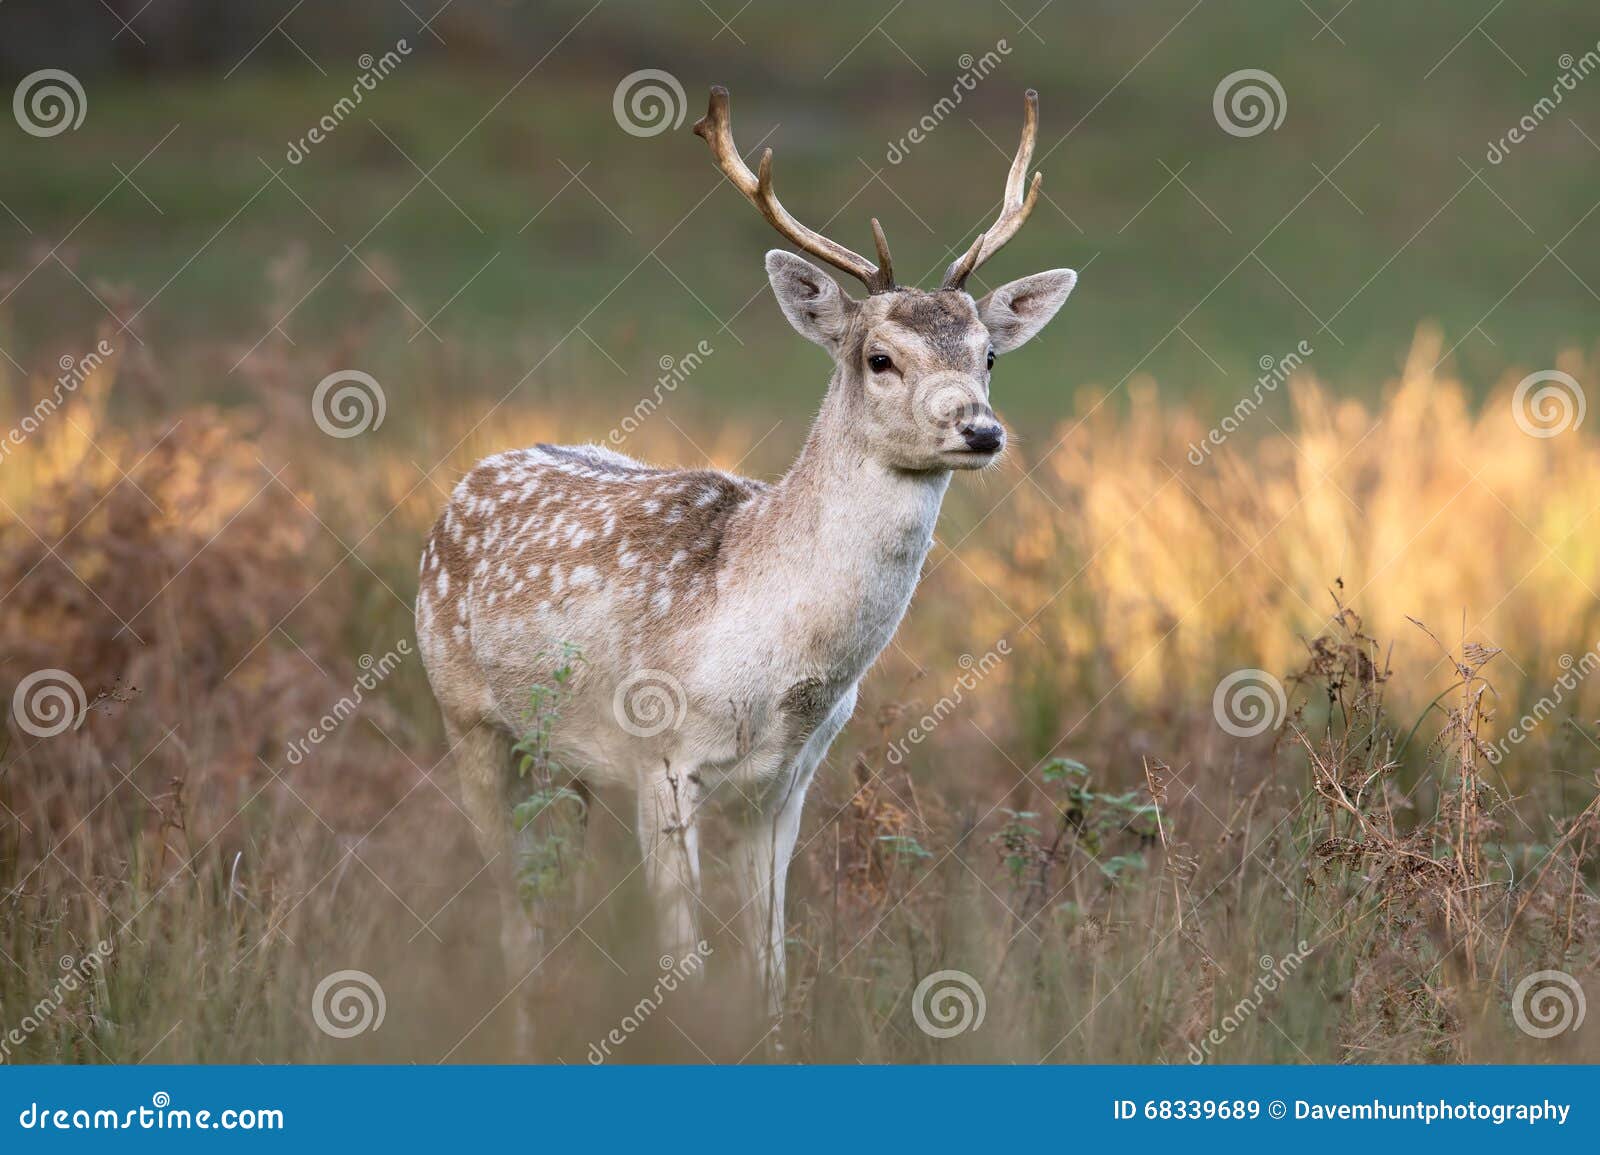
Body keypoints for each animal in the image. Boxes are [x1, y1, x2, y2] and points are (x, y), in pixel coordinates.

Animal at [414, 85, 1077, 1044]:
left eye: (988, 354)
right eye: (880, 358)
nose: (981, 430)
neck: (770, 656)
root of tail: (466, 481)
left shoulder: (789, 779)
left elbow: (770, 965)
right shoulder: (660, 756)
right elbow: (683, 963)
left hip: (564, 758)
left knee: (550, 891)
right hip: (463, 711)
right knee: (510, 907)